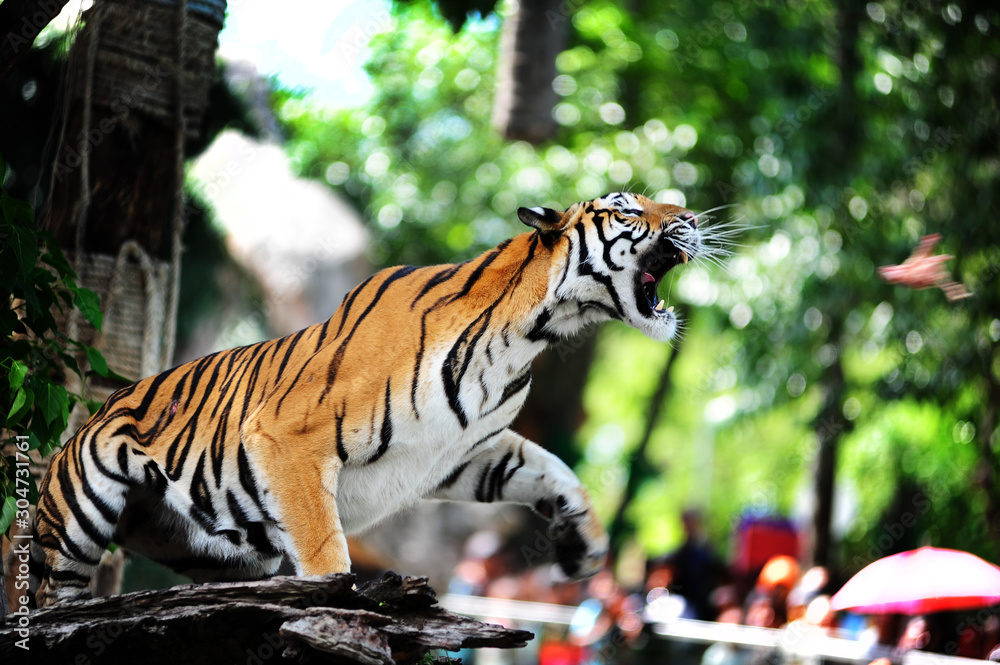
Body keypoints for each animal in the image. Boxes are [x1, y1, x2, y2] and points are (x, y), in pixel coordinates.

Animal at [30, 191, 704, 607]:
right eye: (628, 207)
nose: (693, 216)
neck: (533, 333)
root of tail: (88, 416)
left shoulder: (463, 450)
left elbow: (552, 468)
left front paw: (583, 544)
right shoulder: (287, 437)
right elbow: (325, 549)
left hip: (228, 558)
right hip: (74, 525)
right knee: (50, 597)